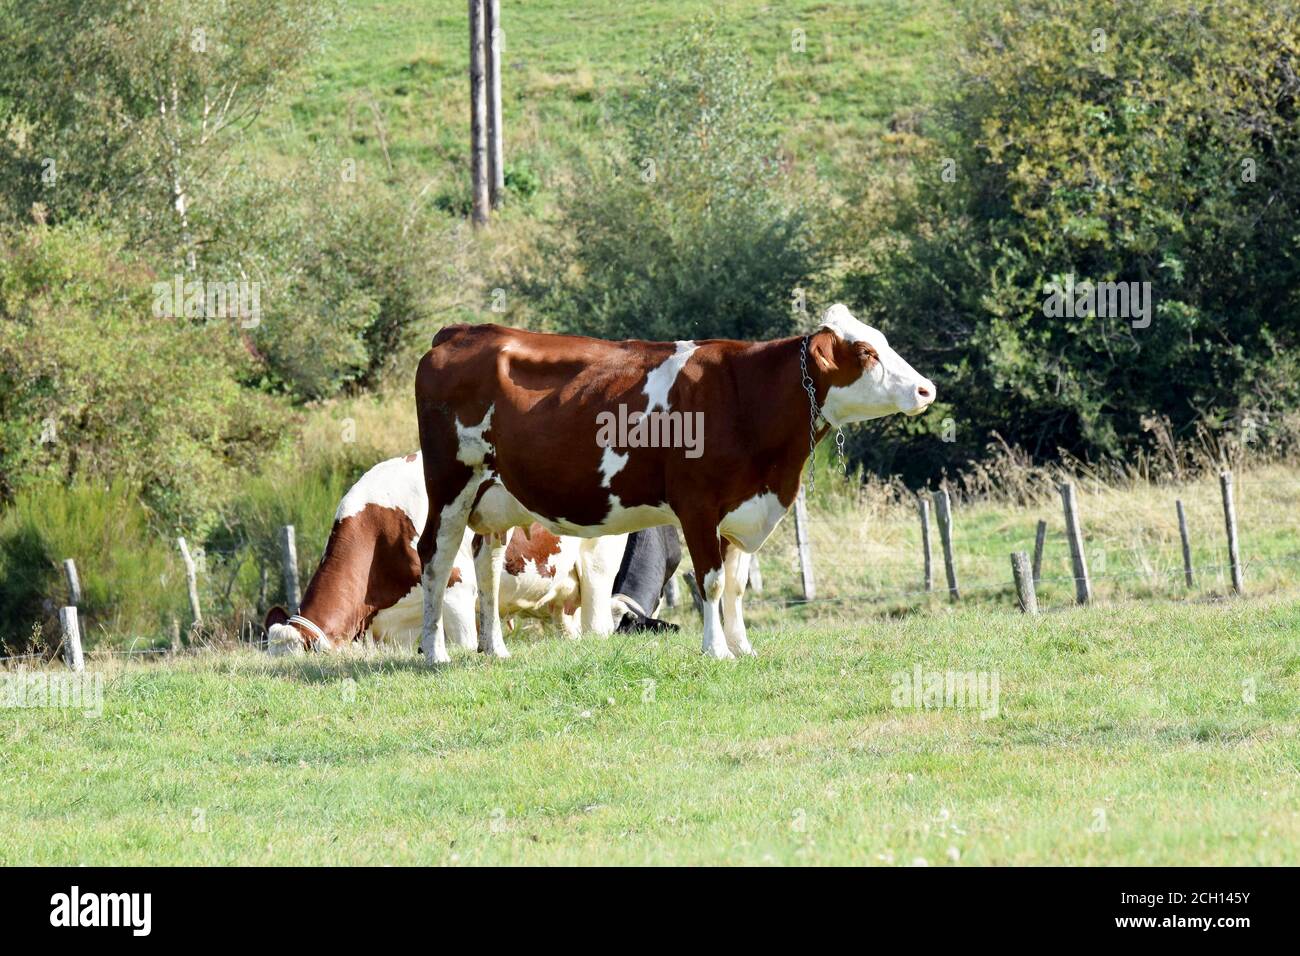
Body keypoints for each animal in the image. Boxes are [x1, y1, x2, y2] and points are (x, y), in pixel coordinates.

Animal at [413, 303, 935, 661]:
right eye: (866, 351)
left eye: (882, 341)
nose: (926, 389)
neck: (746, 396)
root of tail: (462, 331)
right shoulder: (698, 506)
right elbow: (711, 583)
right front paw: (716, 650)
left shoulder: (743, 508)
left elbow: (737, 585)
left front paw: (742, 647)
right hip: (450, 484)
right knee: (435, 557)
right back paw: (436, 654)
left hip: (495, 498)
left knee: (487, 564)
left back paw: (496, 649)